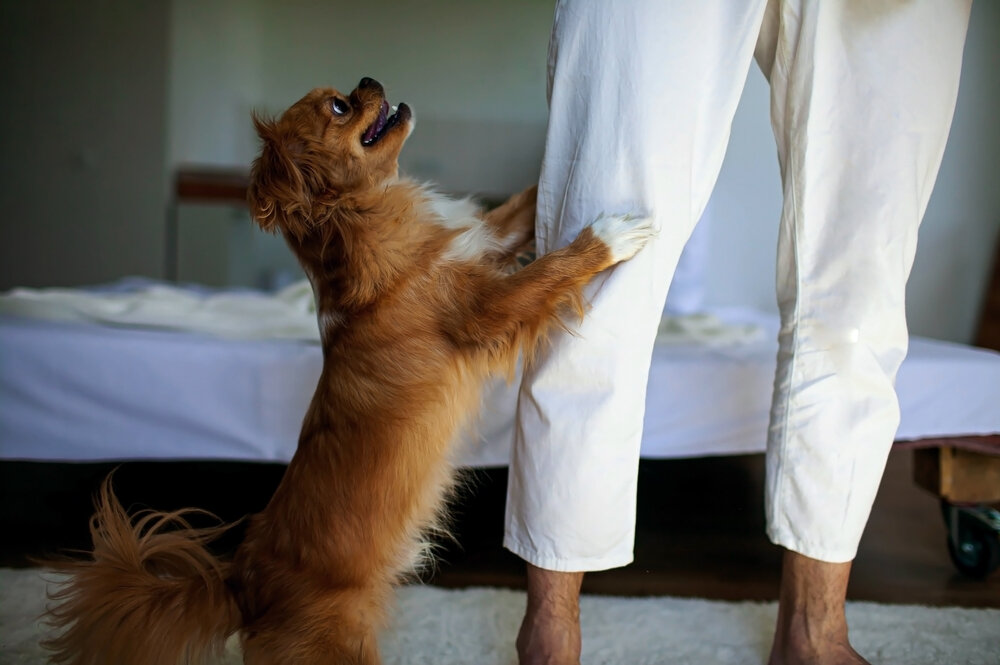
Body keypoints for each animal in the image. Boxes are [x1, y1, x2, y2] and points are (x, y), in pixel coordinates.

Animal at [45, 79, 656, 664]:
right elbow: (549, 270)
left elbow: (520, 207)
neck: (369, 214)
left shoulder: (486, 243)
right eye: (339, 107)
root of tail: (240, 580)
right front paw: (610, 236)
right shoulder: (486, 310)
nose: (368, 78)